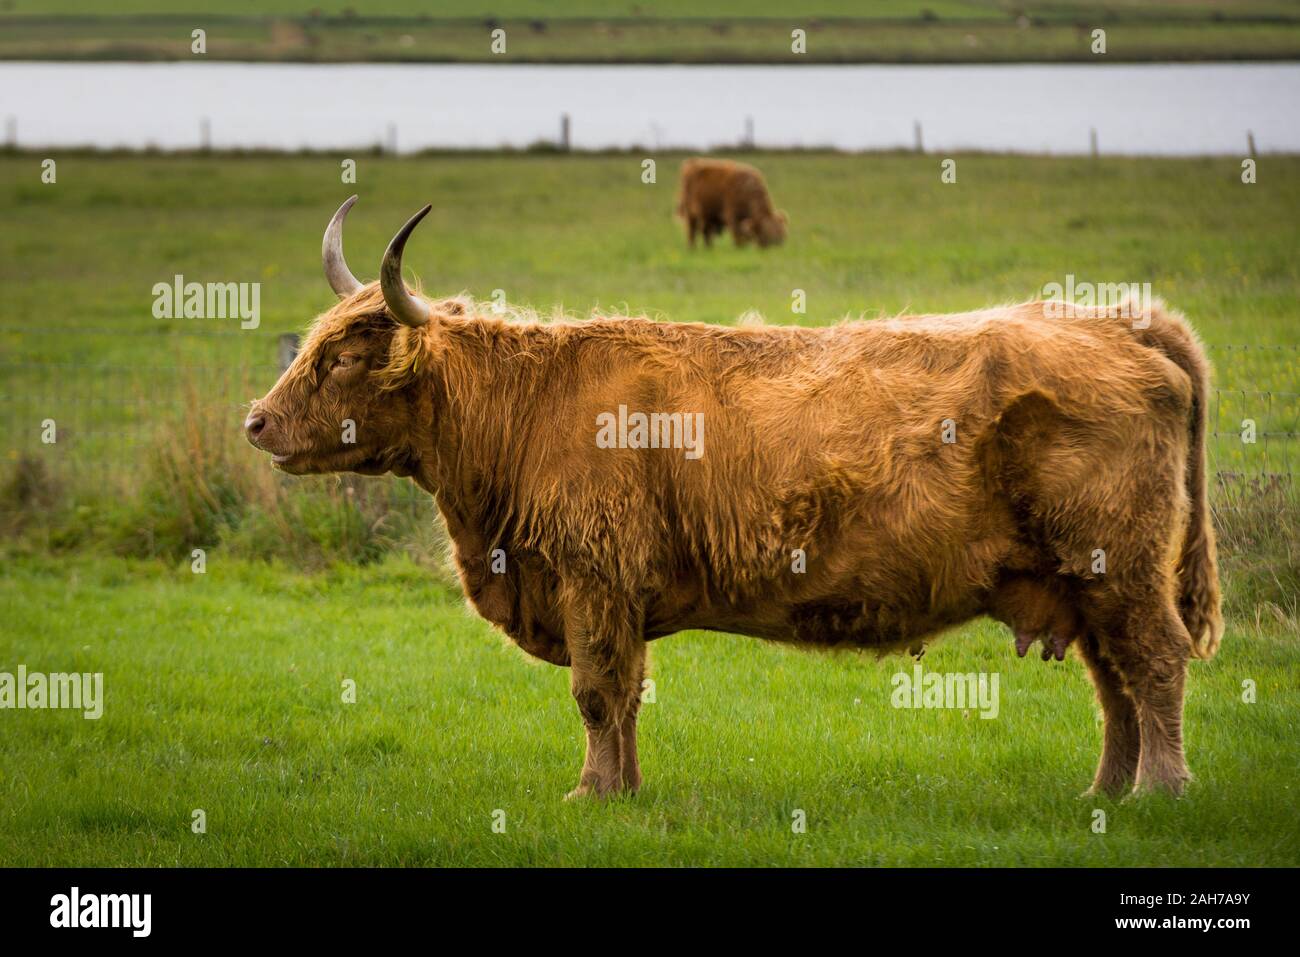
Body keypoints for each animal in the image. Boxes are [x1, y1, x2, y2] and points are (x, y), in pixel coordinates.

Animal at [245, 197, 1223, 801]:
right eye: (314, 345)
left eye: (344, 356)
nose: (256, 421)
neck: (524, 407)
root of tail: (1122, 319)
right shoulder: (617, 596)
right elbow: (626, 693)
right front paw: (626, 791)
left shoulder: (591, 579)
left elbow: (596, 693)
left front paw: (588, 791)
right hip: (1081, 580)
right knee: (1114, 683)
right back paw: (1106, 789)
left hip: (1119, 567)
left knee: (1154, 664)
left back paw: (1161, 789)